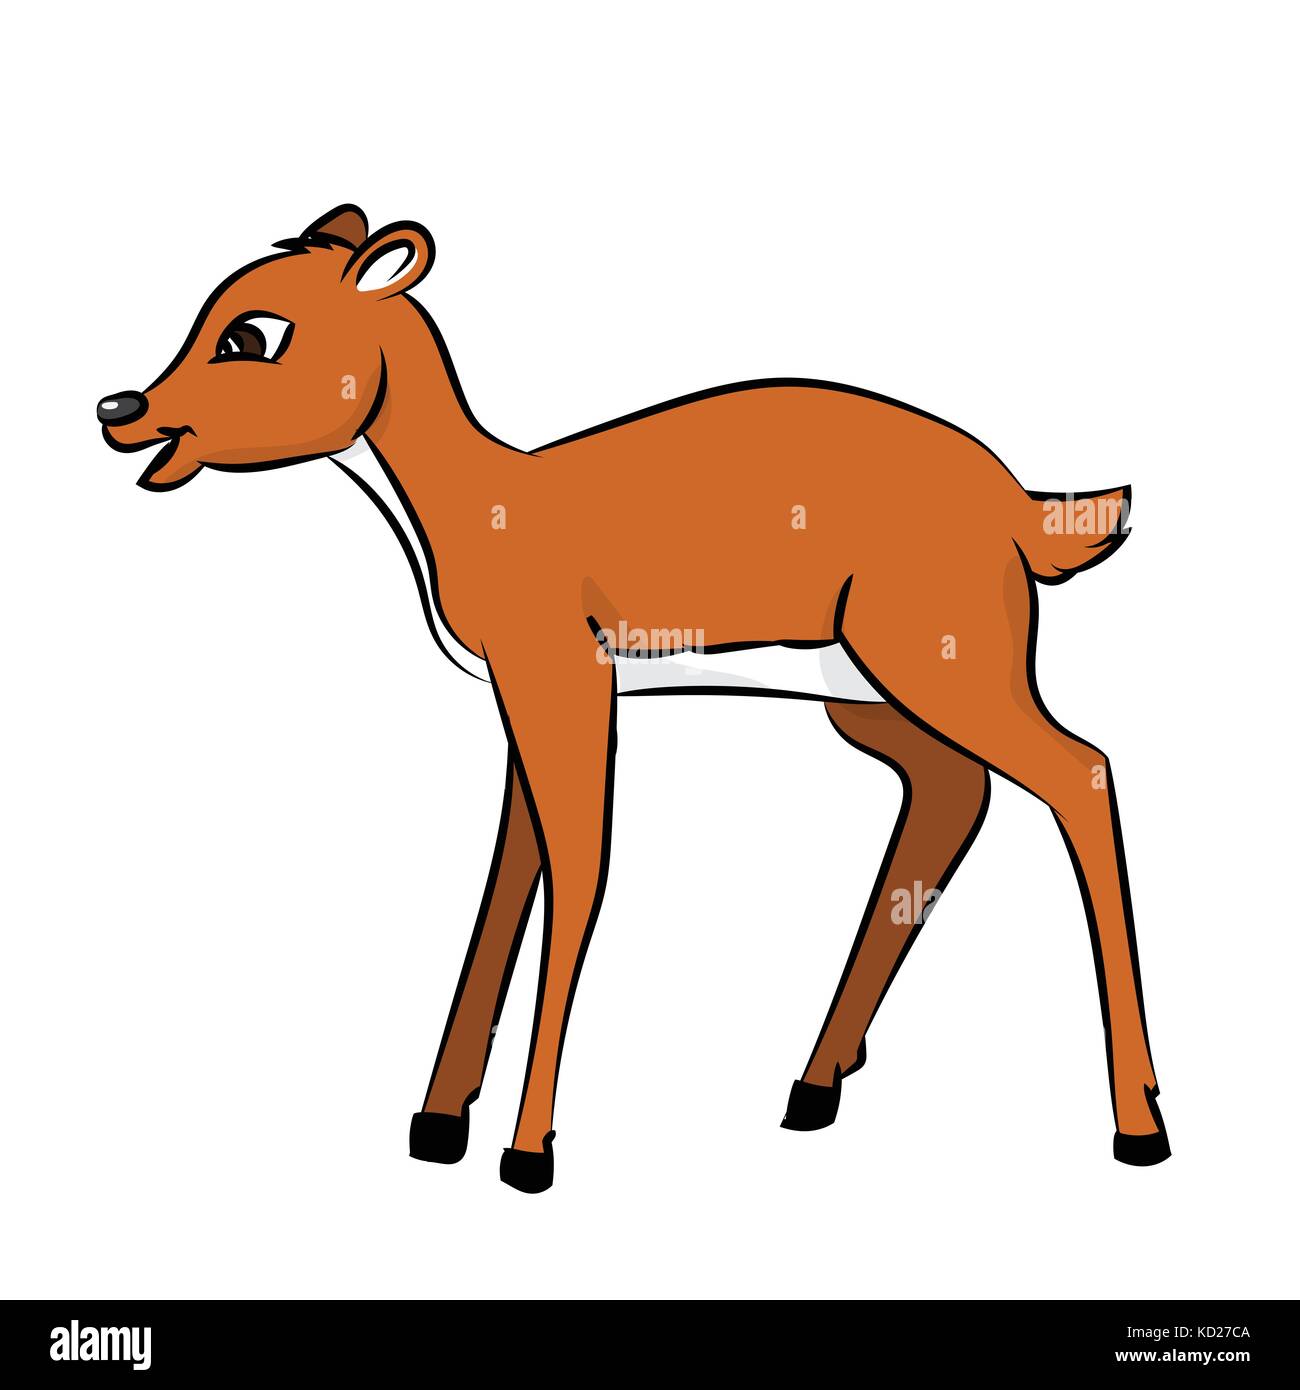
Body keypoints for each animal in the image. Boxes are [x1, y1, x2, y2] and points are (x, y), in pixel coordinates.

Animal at [98, 204, 1170, 1193]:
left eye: (253, 334)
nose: (121, 407)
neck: (486, 510)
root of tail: (1025, 509)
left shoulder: (567, 679)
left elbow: (580, 871)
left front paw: (527, 1152)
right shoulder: (524, 698)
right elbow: (511, 876)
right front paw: (438, 1125)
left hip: (945, 663)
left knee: (1081, 771)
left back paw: (1140, 1127)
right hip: (868, 692)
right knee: (955, 799)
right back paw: (811, 1089)